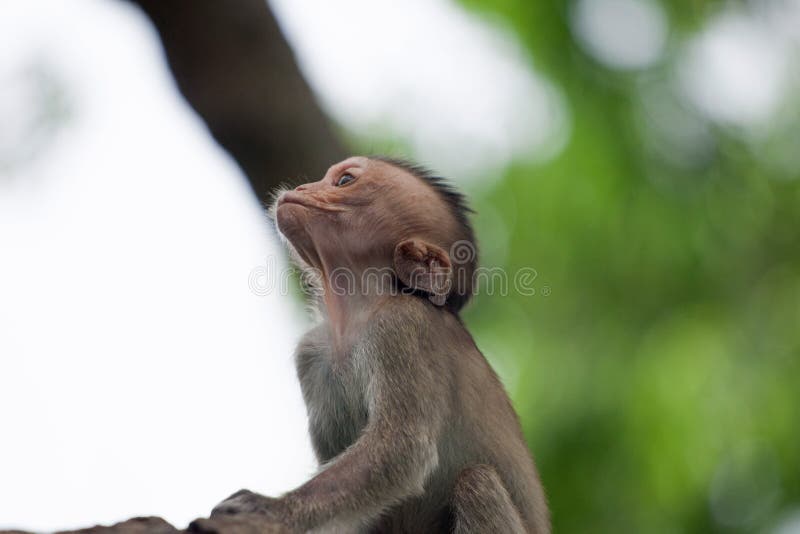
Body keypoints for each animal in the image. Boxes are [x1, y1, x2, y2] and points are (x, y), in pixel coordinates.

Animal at [210, 156, 550, 533]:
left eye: (344, 180)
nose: (299, 189)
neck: (353, 317)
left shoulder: (401, 327)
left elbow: (402, 448)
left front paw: (270, 510)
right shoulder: (311, 351)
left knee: (477, 482)